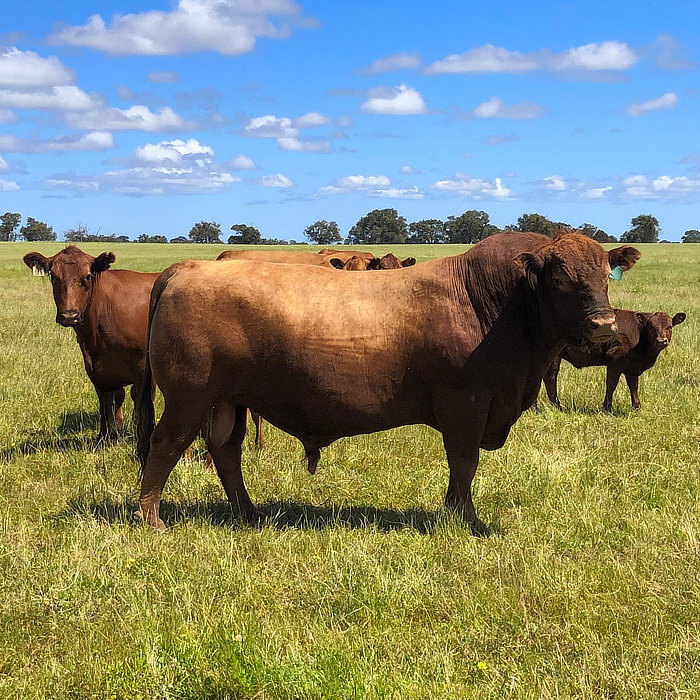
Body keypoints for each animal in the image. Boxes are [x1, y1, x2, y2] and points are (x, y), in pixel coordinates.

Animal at [22, 245, 264, 448]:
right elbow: (106, 405)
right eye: (54, 276)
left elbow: (137, 400)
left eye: (87, 276)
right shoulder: (95, 368)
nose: (69, 315)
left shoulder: (140, 368)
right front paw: (103, 438)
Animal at [135, 232, 640, 534]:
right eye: (559, 277)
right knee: (165, 445)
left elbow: (460, 468)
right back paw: (151, 518)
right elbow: (464, 462)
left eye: (604, 275)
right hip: (188, 395)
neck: (493, 303)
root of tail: (187, 268)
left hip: (228, 399)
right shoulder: (466, 405)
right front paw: (467, 520)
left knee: (225, 451)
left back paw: (248, 512)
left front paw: (454, 511)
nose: (603, 324)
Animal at [543, 309, 686, 411]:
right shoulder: (616, 360)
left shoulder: (632, 368)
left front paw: (637, 407)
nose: (661, 341)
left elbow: (633, 386)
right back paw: (557, 407)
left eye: (669, 327)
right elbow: (611, 384)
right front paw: (607, 408)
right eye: (651, 327)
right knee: (550, 378)